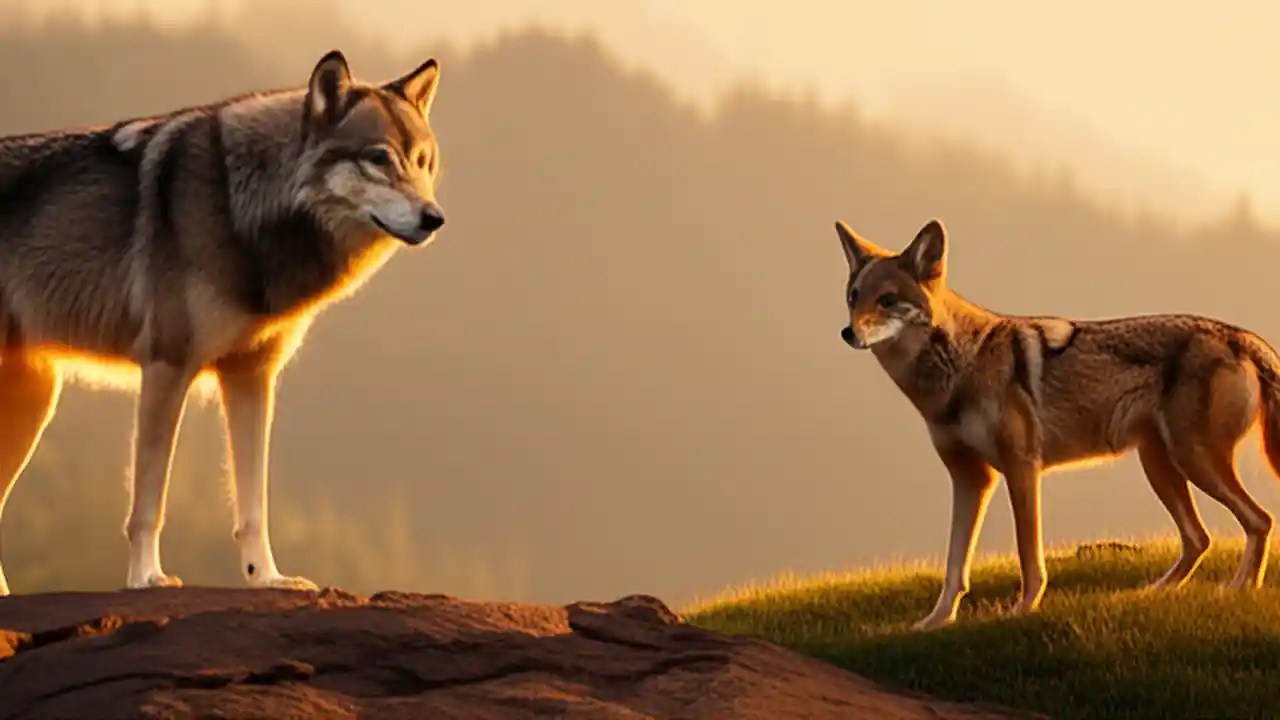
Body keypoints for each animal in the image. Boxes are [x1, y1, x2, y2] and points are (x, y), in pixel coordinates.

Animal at [0, 50, 445, 594]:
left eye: (423, 161)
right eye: (379, 158)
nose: (434, 218)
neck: (238, 211)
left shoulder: (251, 377)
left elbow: (254, 504)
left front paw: (268, 578)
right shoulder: (167, 367)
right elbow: (149, 501)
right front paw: (147, 578)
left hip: (36, 402)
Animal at [835, 218, 1280, 630]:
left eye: (888, 300)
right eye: (853, 298)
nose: (847, 333)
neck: (956, 370)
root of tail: (1241, 336)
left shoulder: (1020, 468)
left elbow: (1028, 554)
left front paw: (1022, 611)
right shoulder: (970, 479)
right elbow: (954, 567)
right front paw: (936, 623)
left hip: (1194, 462)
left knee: (1259, 520)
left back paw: (1238, 591)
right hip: (1160, 466)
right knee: (1199, 538)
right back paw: (1153, 595)